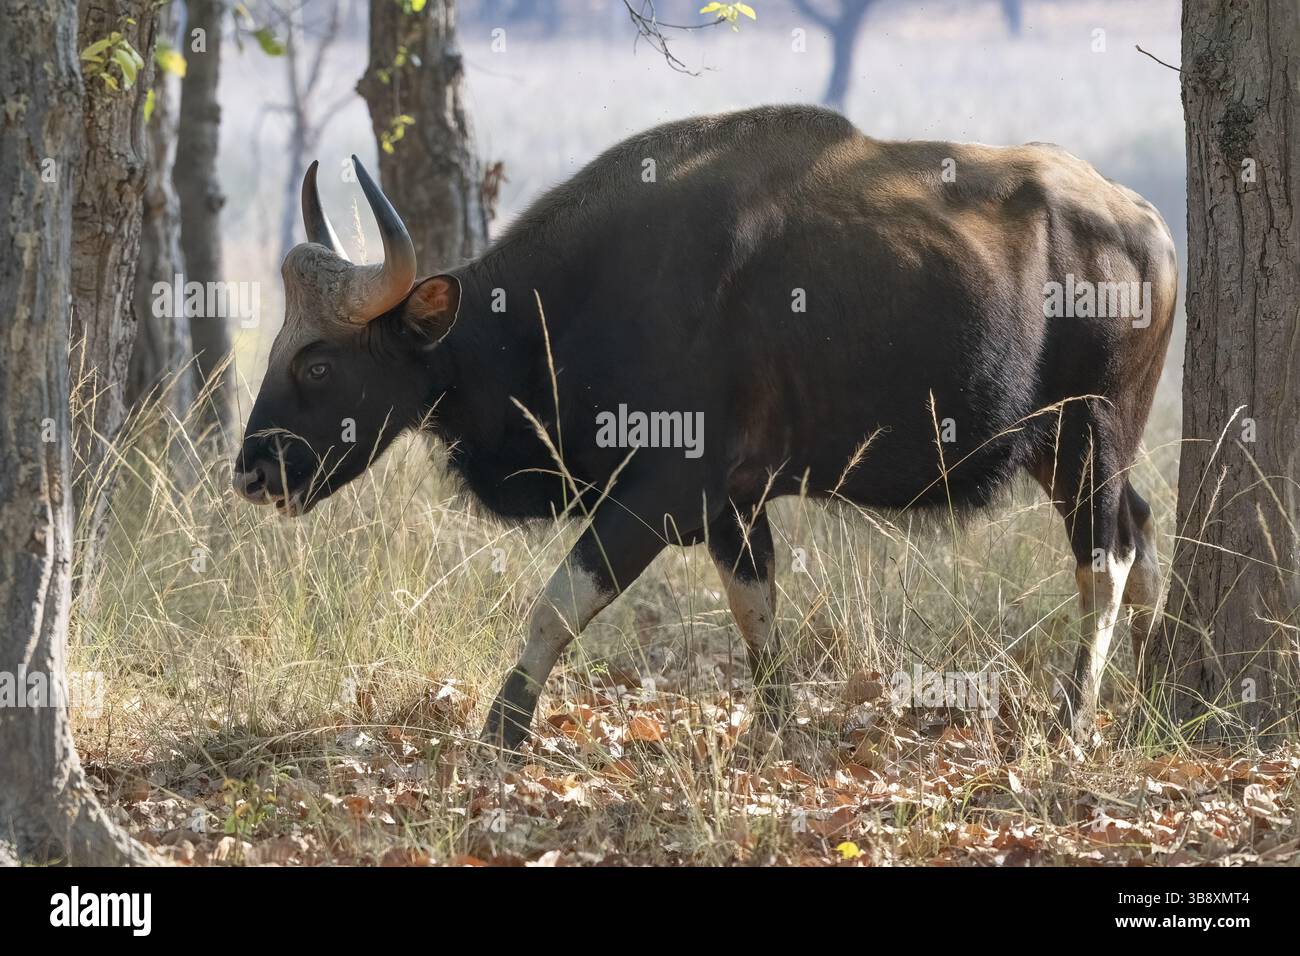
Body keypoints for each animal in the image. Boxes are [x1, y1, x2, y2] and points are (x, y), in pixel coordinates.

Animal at [233, 105, 1176, 754]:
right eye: (278, 348)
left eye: (317, 363)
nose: (251, 473)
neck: (573, 305)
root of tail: (1148, 226)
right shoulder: (734, 506)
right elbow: (756, 613)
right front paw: (776, 731)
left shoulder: (661, 492)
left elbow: (558, 602)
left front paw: (502, 732)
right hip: (1061, 450)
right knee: (1141, 533)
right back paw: (1151, 700)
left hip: (1090, 435)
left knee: (1104, 561)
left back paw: (1073, 719)